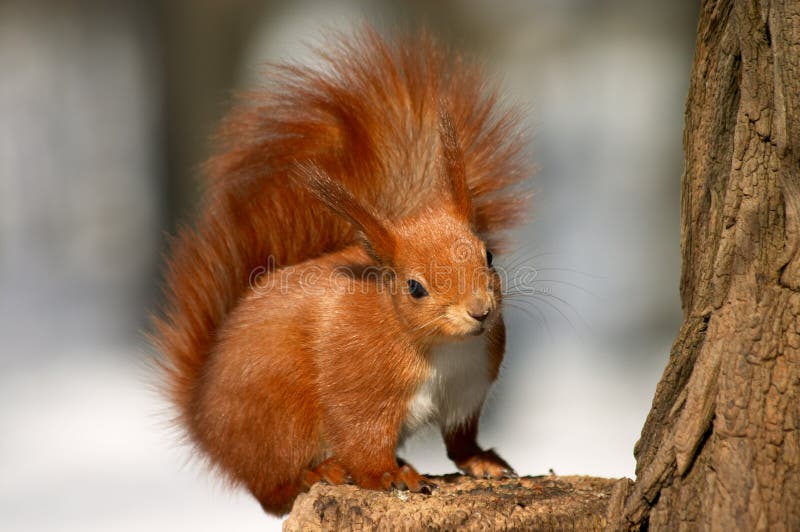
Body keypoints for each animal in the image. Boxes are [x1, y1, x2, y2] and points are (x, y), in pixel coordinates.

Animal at [152, 27, 531, 515]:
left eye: (489, 256)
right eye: (414, 287)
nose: (481, 312)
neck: (442, 349)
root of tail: (204, 424)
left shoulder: (467, 389)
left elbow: (460, 439)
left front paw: (482, 461)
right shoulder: (359, 386)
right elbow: (361, 439)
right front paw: (388, 476)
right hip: (279, 419)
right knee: (273, 489)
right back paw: (320, 472)